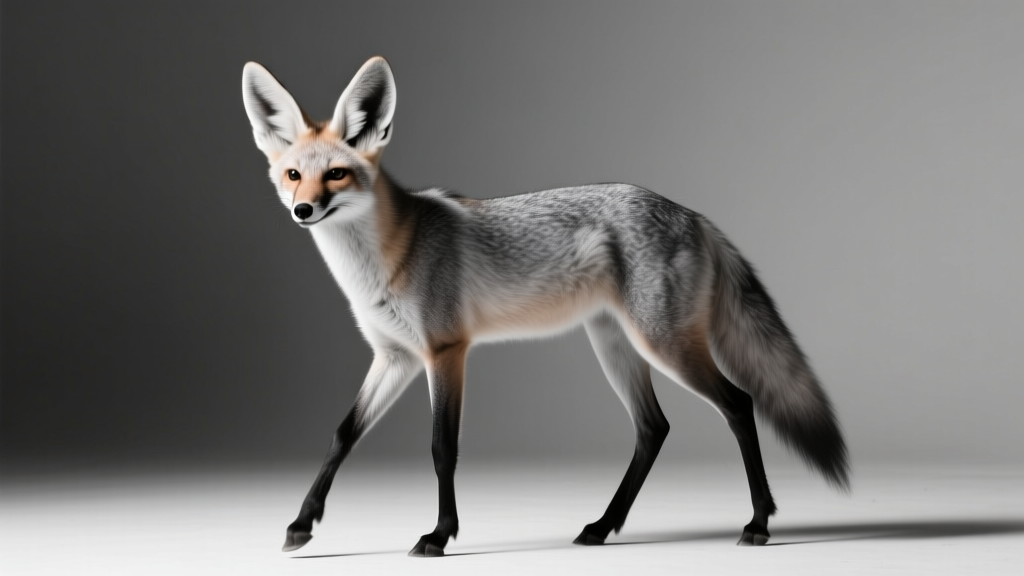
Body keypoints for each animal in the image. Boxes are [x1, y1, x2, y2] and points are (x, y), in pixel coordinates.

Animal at [241, 56, 849, 557]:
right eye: (293, 174)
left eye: (336, 174)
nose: (302, 210)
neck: (388, 258)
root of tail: (692, 213)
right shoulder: (396, 358)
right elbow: (342, 434)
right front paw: (301, 524)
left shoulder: (446, 352)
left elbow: (442, 447)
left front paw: (439, 534)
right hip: (614, 345)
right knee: (653, 428)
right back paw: (603, 527)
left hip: (664, 345)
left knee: (739, 404)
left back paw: (759, 521)